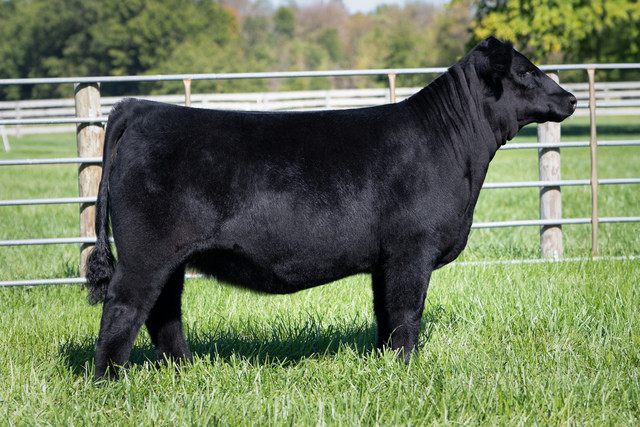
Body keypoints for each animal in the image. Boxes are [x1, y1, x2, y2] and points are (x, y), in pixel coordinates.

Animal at [86, 37, 576, 380]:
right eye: (526, 72)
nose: (570, 99)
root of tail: (139, 108)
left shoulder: (384, 259)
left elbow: (384, 315)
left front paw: (385, 365)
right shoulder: (412, 250)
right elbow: (407, 314)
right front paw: (407, 370)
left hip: (170, 258)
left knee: (163, 312)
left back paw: (185, 371)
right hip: (145, 253)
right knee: (124, 309)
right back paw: (108, 383)